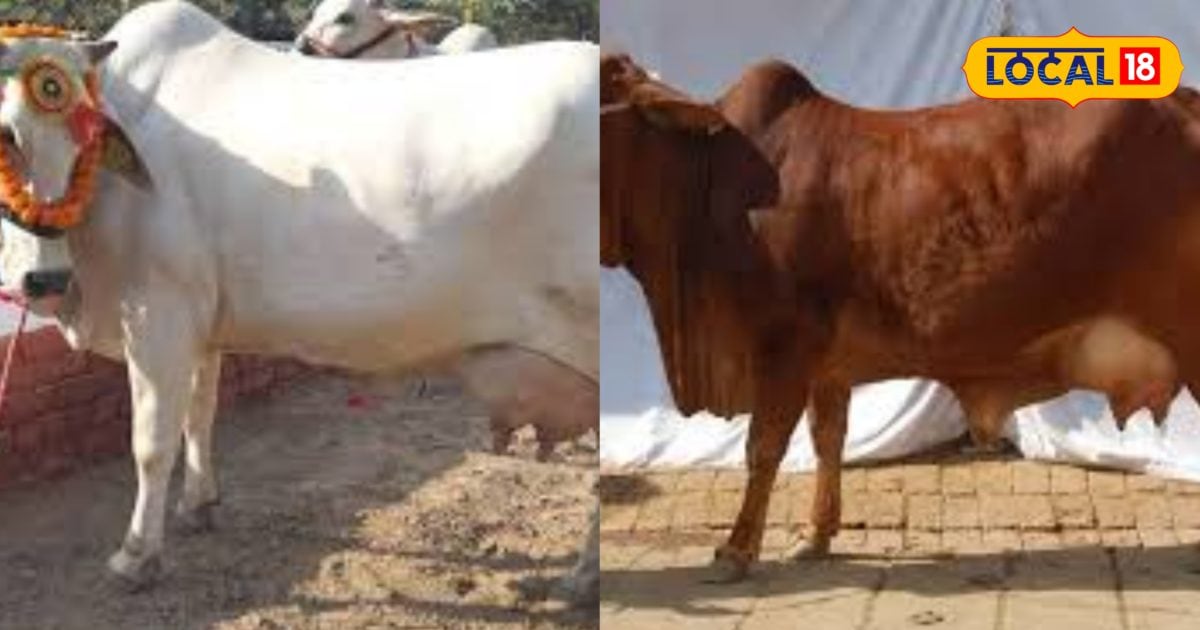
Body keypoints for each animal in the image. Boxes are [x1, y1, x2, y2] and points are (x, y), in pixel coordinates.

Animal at [601, 53, 1199, 582]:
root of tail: (1185, 102)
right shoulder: (826, 366)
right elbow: (827, 439)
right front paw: (815, 537)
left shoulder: (782, 343)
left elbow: (763, 448)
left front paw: (735, 551)